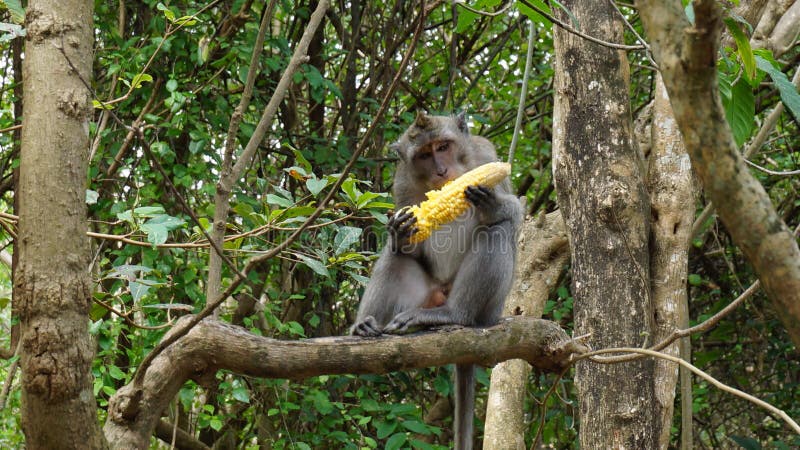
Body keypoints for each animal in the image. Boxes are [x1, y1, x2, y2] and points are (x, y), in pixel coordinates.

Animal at [351, 112, 522, 450]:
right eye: (425, 155)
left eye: (443, 146)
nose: (442, 171)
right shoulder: (402, 182)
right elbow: (406, 241)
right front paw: (401, 232)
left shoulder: (487, 156)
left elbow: (514, 214)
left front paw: (493, 204)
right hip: (424, 294)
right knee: (395, 257)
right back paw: (366, 324)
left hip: (489, 309)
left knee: (497, 231)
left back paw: (455, 315)